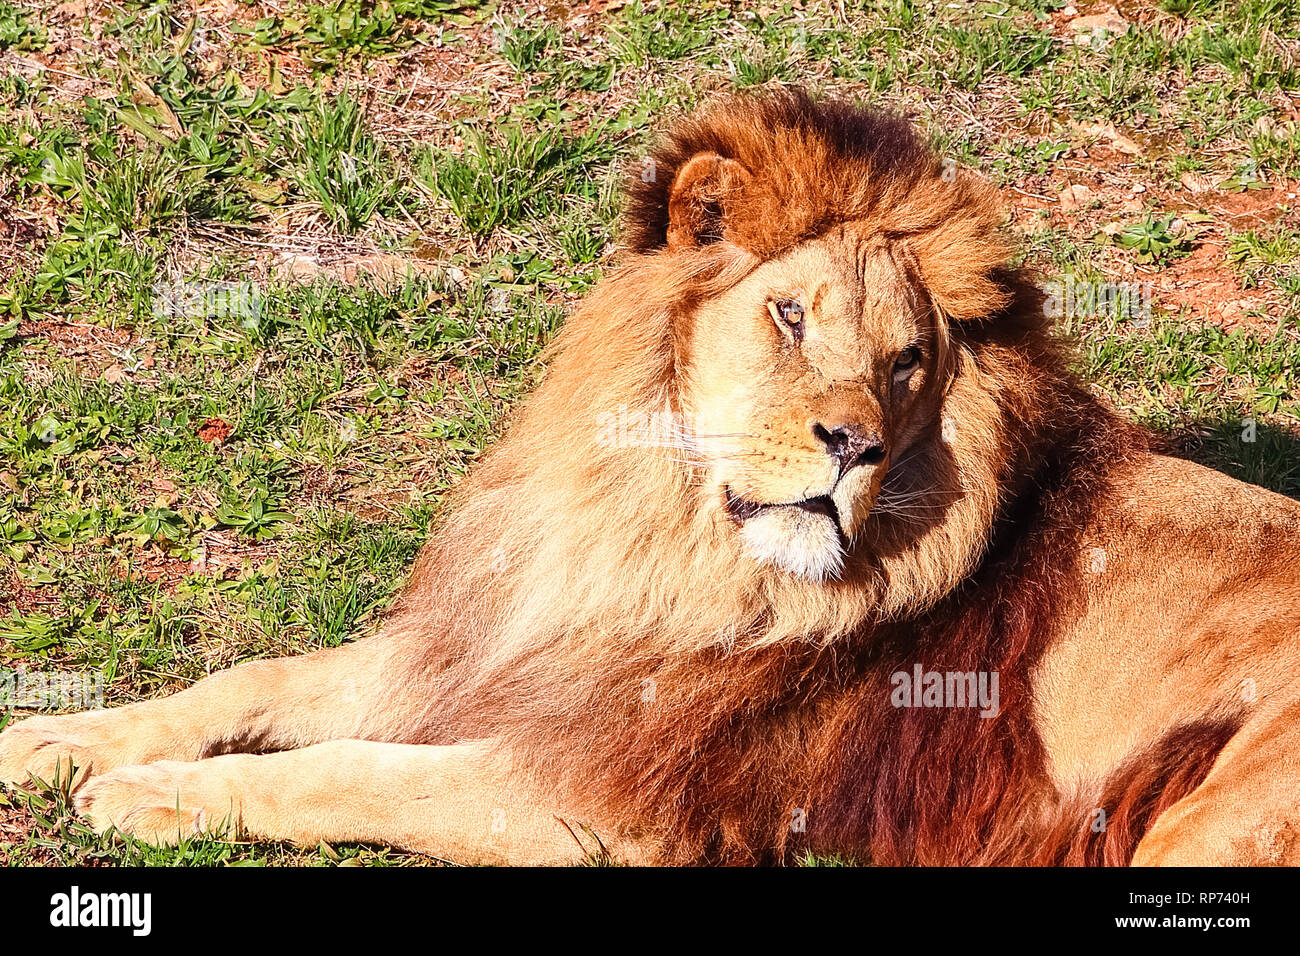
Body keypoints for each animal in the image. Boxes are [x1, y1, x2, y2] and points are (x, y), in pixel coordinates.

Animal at [2, 89, 1299, 866]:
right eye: (789, 316)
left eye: (905, 362)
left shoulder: (616, 802)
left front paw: (156, 797)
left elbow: (349, 770)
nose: (856, 446)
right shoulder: (510, 652)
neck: (666, 536)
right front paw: (67, 739)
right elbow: (261, 676)